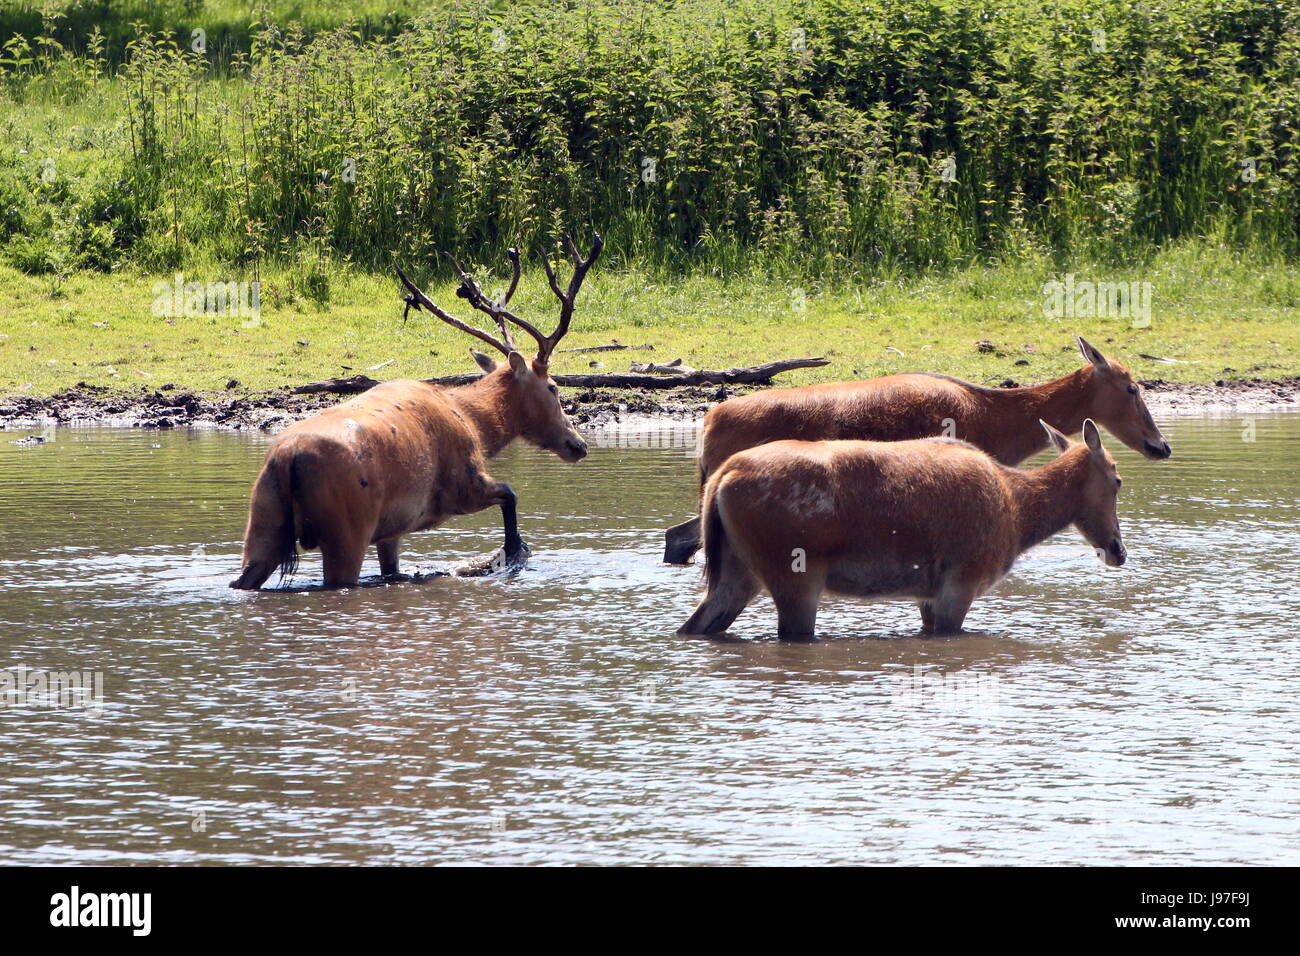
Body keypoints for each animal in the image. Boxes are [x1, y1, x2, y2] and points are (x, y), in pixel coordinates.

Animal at [229, 235, 602, 590]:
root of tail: (287, 459)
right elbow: (511, 493)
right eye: (553, 387)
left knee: (244, 577)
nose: (578, 445)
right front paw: (512, 552)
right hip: (347, 528)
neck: (477, 426)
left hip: (264, 517)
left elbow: (392, 570)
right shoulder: (463, 486)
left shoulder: (391, 532)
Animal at [678, 419, 1125, 640]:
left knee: (696, 625)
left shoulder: (926, 592)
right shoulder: (962, 579)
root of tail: (721, 478)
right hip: (794, 573)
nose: (1118, 550)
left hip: (736, 570)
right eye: (1118, 480)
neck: (1019, 514)